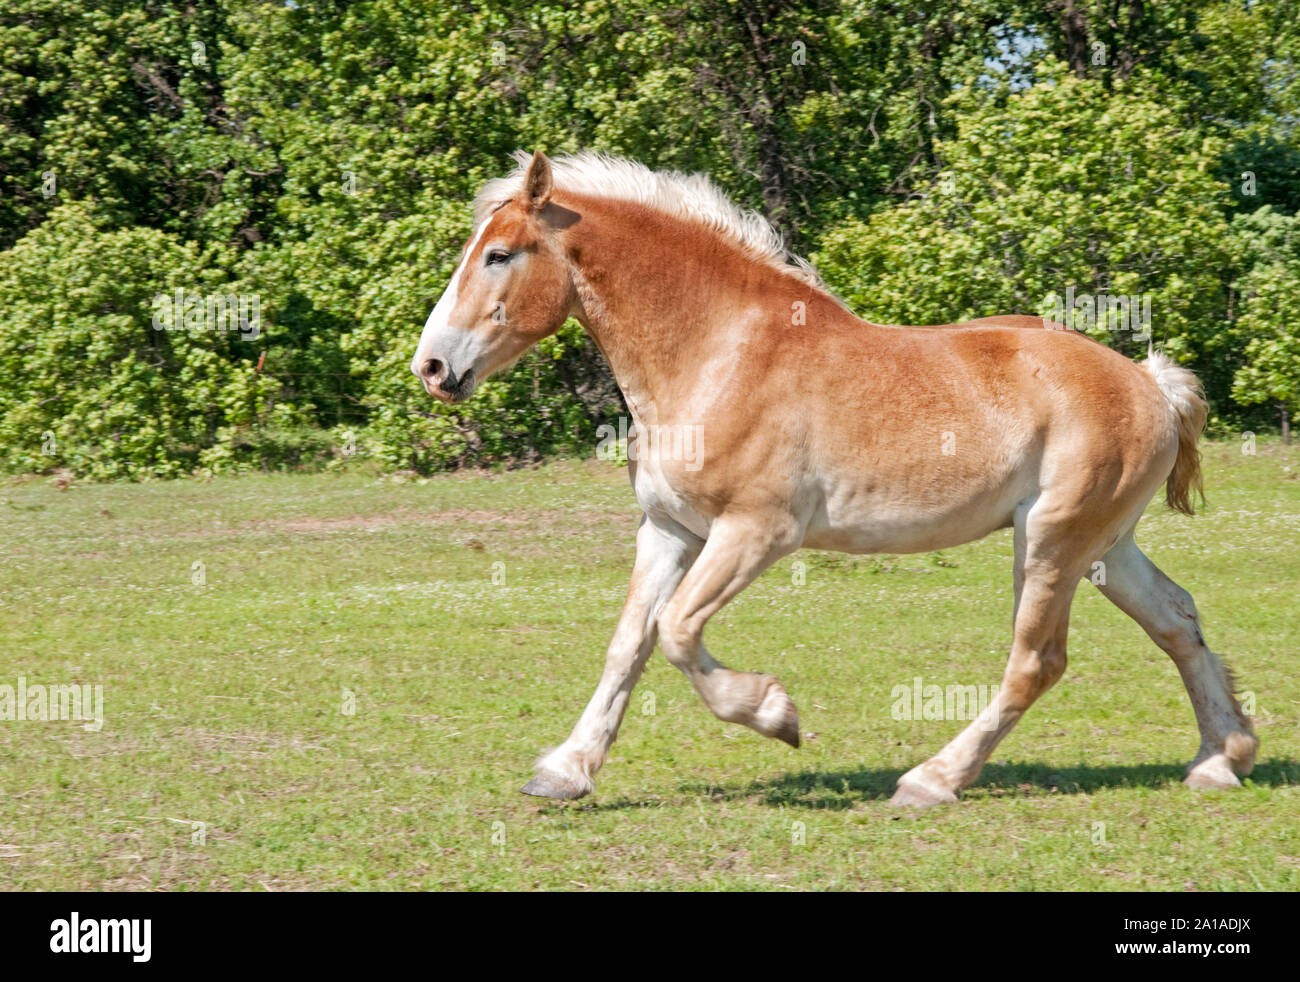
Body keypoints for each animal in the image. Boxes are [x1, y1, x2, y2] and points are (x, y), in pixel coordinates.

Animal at [410, 150, 1257, 807]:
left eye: (499, 254)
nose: (433, 367)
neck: (719, 354)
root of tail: (1150, 384)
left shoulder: (756, 534)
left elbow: (677, 632)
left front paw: (774, 714)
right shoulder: (671, 531)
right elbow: (630, 644)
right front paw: (565, 772)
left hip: (1052, 541)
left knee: (1036, 662)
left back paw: (932, 780)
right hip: (1106, 547)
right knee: (1177, 619)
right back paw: (1222, 758)